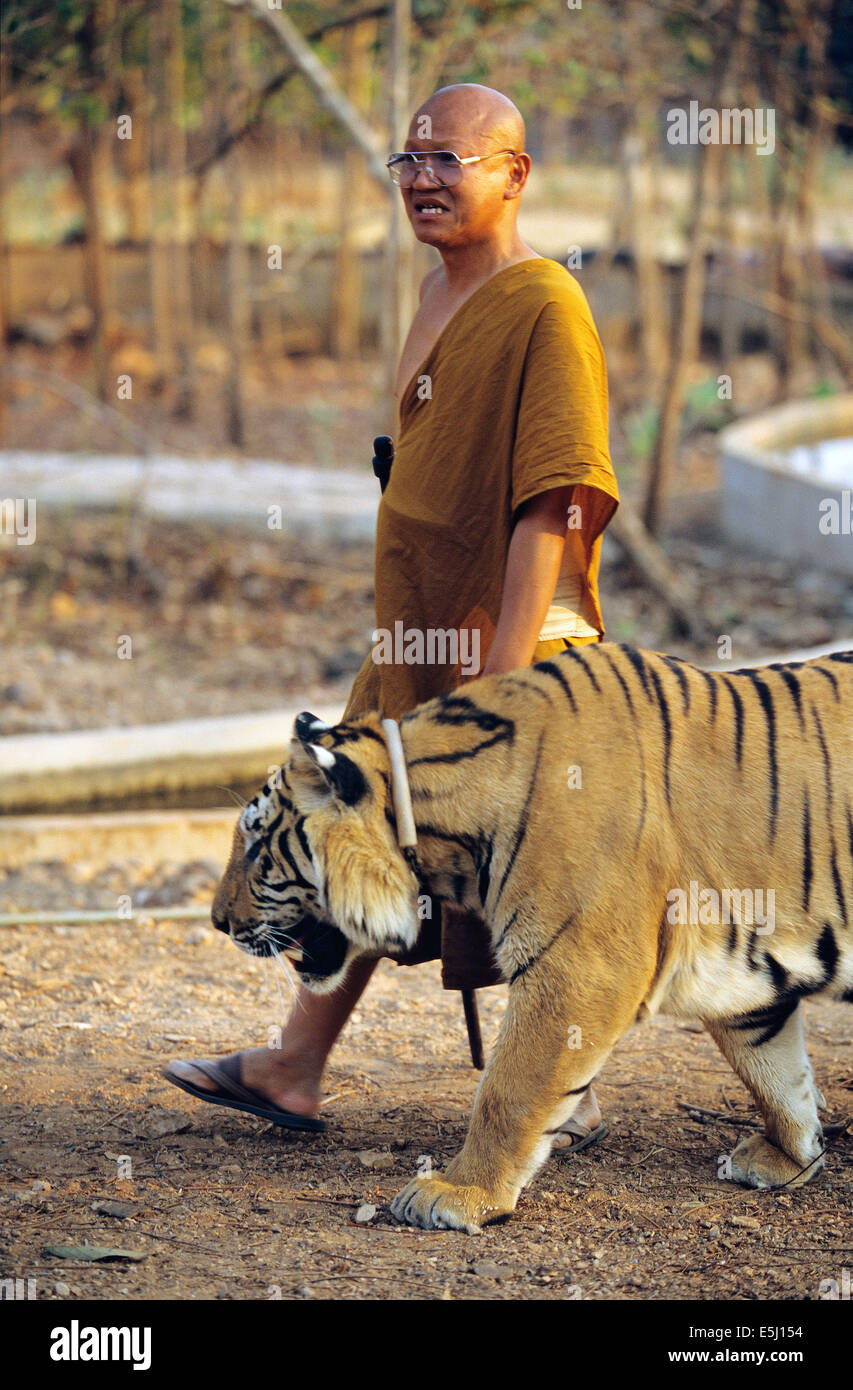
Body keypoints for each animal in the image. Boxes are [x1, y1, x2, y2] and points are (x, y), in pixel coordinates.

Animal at [211, 642, 853, 1234]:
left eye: (256, 845)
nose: (217, 920)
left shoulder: (577, 967)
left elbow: (508, 1089)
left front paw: (458, 1193)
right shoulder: (741, 976)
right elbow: (774, 1069)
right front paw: (791, 1157)